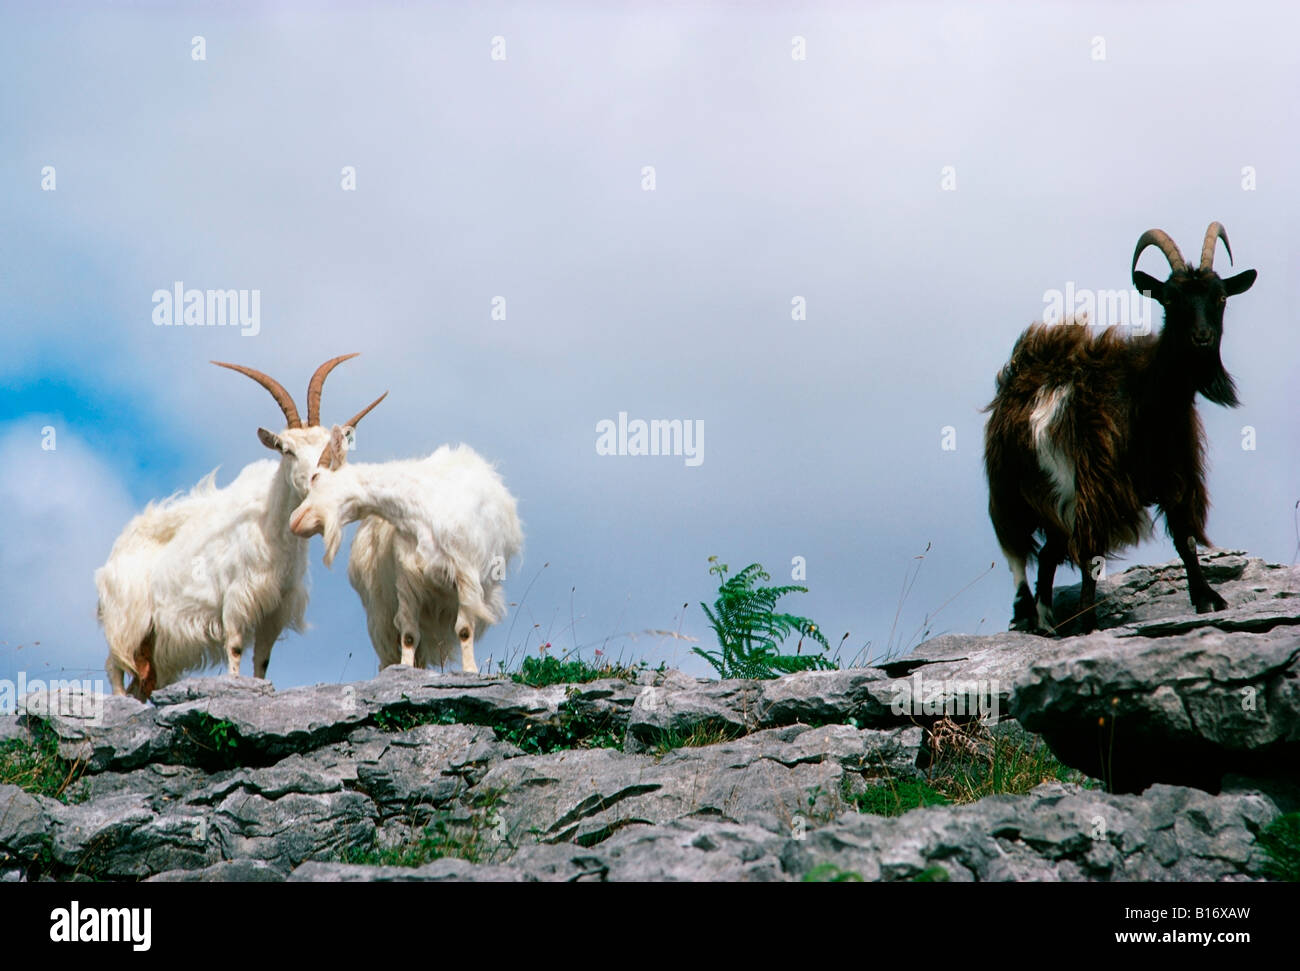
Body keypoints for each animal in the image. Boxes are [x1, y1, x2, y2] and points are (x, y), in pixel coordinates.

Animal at [95, 357, 386, 698]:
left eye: (328, 443)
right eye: (287, 449)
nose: (320, 474)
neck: (270, 529)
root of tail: (114, 555)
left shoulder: (274, 611)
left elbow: (262, 661)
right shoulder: (235, 602)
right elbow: (234, 649)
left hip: (154, 644)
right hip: (126, 623)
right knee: (114, 668)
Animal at [287, 429, 523, 673]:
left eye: (315, 477)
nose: (294, 520)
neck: (423, 507)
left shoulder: (466, 575)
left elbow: (464, 630)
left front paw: (470, 670)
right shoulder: (407, 579)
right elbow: (409, 635)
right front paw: (404, 669)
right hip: (380, 612)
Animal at [984, 222, 1256, 634]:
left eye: (1220, 296)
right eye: (1170, 299)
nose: (1202, 339)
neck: (1148, 401)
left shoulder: (1176, 474)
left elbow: (1185, 537)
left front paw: (1207, 598)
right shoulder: (1094, 488)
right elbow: (1091, 557)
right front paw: (1089, 621)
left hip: (1054, 502)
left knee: (1047, 556)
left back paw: (1048, 621)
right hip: (1011, 490)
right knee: (1017, 551)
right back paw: (1027, 613)